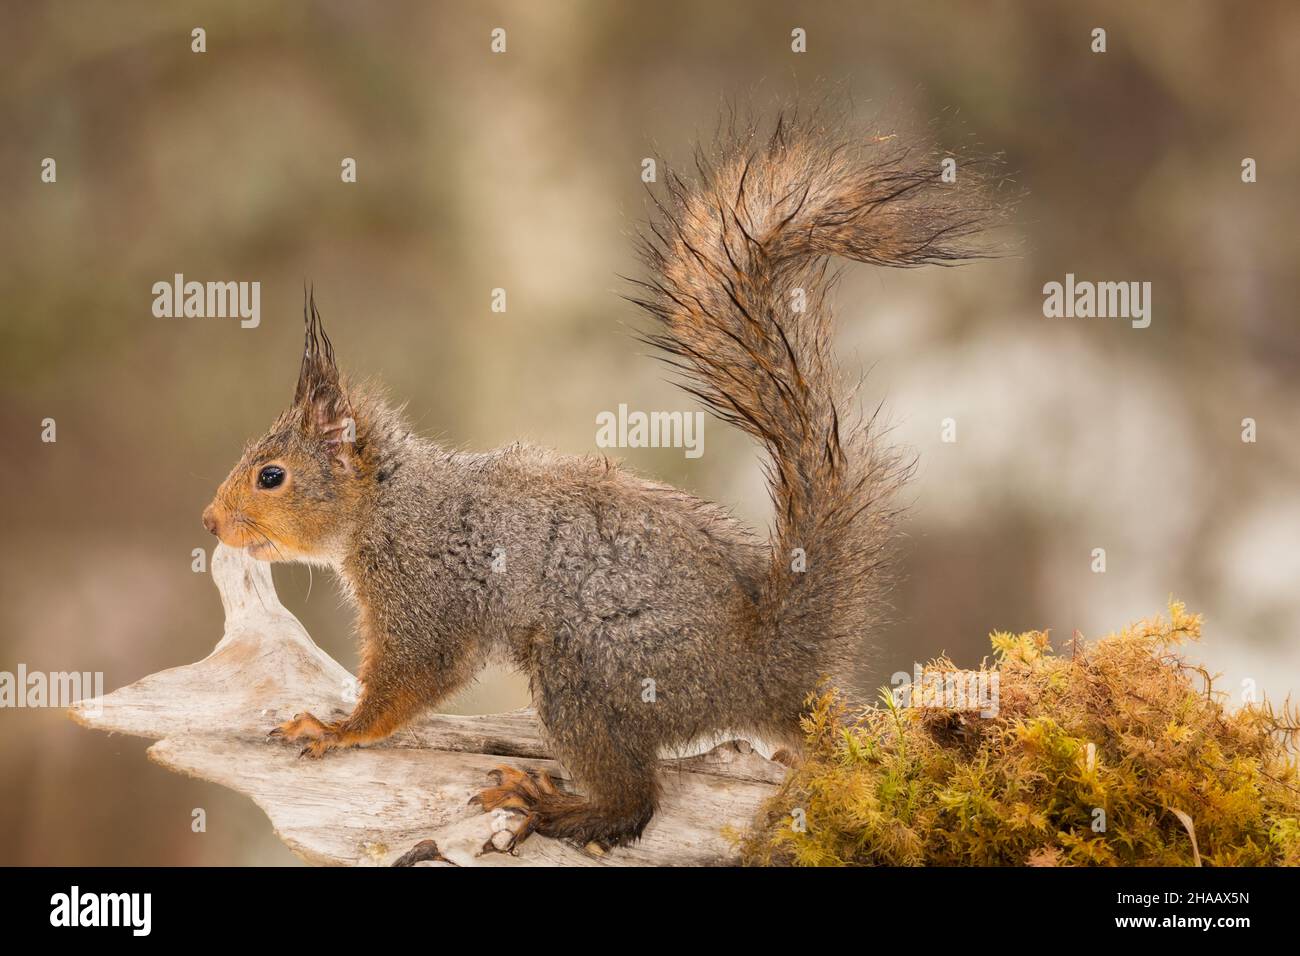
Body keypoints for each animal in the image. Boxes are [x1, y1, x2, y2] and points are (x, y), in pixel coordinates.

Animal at [201, 110, 998, 855]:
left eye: (271, 476)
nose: (210, 522)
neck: (390, 505)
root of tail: (766, 666)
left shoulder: (427, 593)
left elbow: (409, 682)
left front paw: (337, 730)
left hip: (592, 673)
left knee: (635, 803)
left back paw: (552, 805)